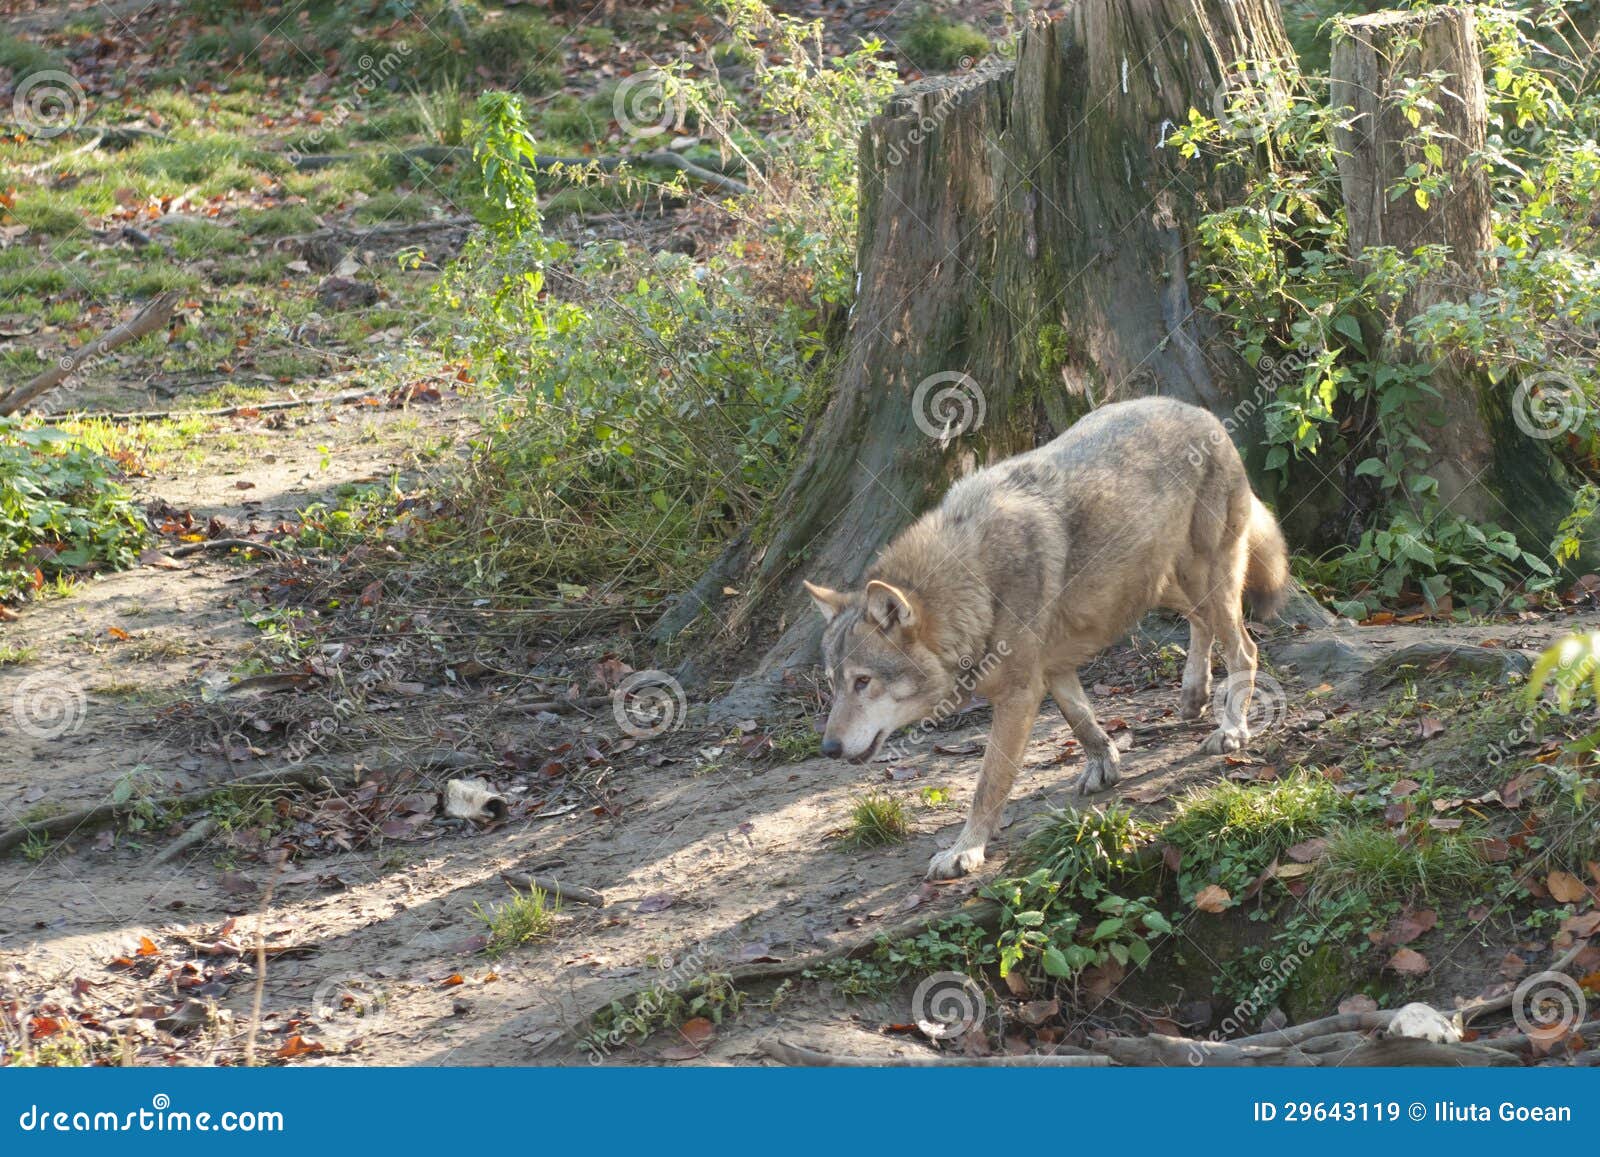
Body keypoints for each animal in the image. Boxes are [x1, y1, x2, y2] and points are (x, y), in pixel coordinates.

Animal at [804, 396, 1289, 879]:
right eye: (833, 684)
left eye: (863, 682)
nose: (828, 748)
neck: (977, 586)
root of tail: (1200, 412)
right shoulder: (1051, 667)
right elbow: (1080, 720)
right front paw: (1105, 766)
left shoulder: (1019, 693)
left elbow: (989, 782)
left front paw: (965, 850)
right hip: (1157, 585)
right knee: (1200, 623)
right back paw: (1193, 694)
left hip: (1203, 577)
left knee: (1244, 648)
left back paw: (1232, 729)